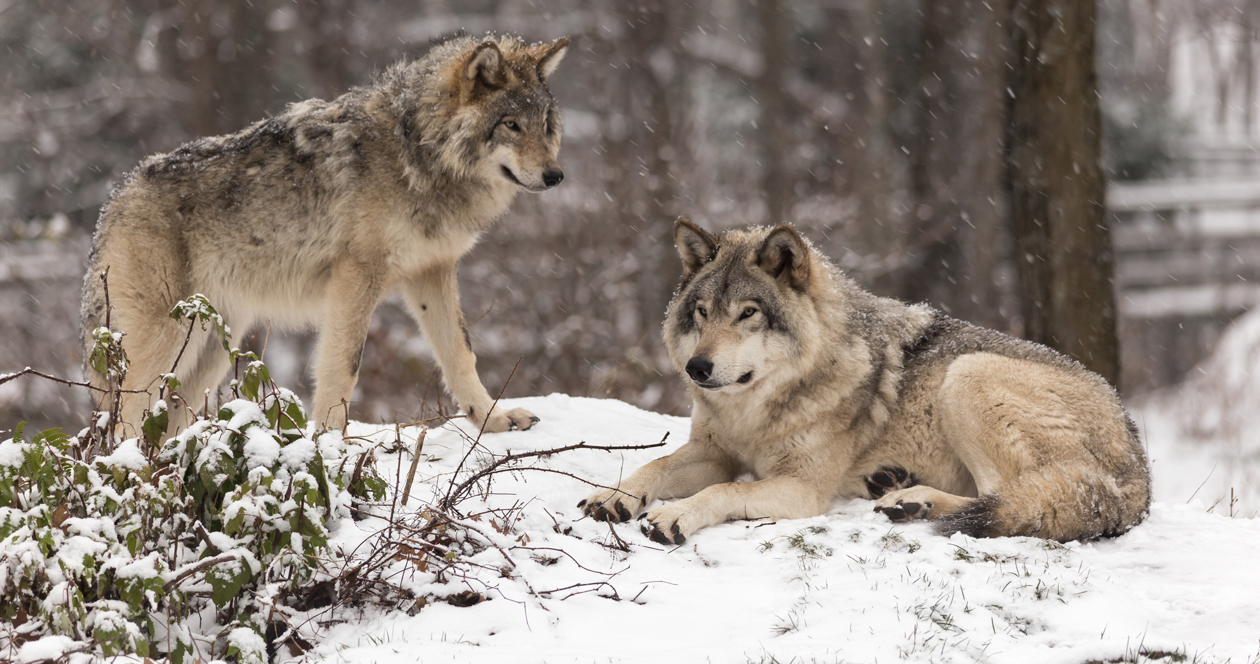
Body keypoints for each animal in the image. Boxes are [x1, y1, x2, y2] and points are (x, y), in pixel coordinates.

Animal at [81, 33, 569, 435]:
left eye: (546, 123)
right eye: (511, 125)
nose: (556, 176)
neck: (418, 152)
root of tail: (116, 197)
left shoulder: (432, 271)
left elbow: (460, 352)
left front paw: (492, 419)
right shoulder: (356, 276)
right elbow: (343, 367)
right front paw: (331, 447)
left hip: (213, 347)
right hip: (168, 341)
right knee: (124, 419)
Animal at [580, 219, 1151, 543]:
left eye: (747, 314)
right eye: (701, 312)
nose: (697, 368)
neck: (757, 408)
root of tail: (1138, 469)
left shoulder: (801, 488)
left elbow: (720, 490)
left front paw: (674, 516)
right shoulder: (714, 449)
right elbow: (655, 465)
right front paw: (615, 496)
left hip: (969, 375)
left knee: (1007, 498)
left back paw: (910, 500)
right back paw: (895, 487)